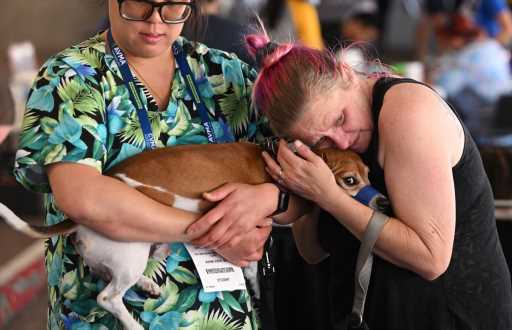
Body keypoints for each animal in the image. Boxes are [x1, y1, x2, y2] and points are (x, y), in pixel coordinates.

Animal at [0, 142, 370, 330]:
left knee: (109, 273)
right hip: (130, 253)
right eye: (350, 181)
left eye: (367, 173)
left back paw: (147, 283)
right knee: (108, 297)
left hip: (131, 252)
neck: (276, 162)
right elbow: (253, 266)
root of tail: (75, 220)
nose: (380, 201)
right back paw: (133, 324)